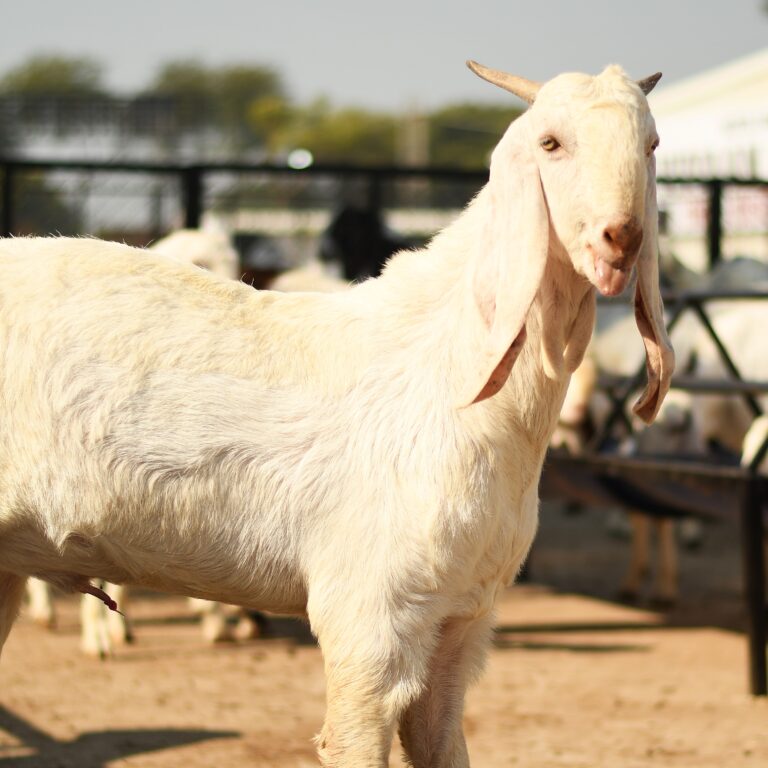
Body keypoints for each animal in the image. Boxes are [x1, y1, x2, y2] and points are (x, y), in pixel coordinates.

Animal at [0, 62, 671, 766]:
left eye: (651, 143)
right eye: (551, 143)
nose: (621, 238)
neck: (449, 373)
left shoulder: (460, 619)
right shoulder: (370, 617)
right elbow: (351, 739)